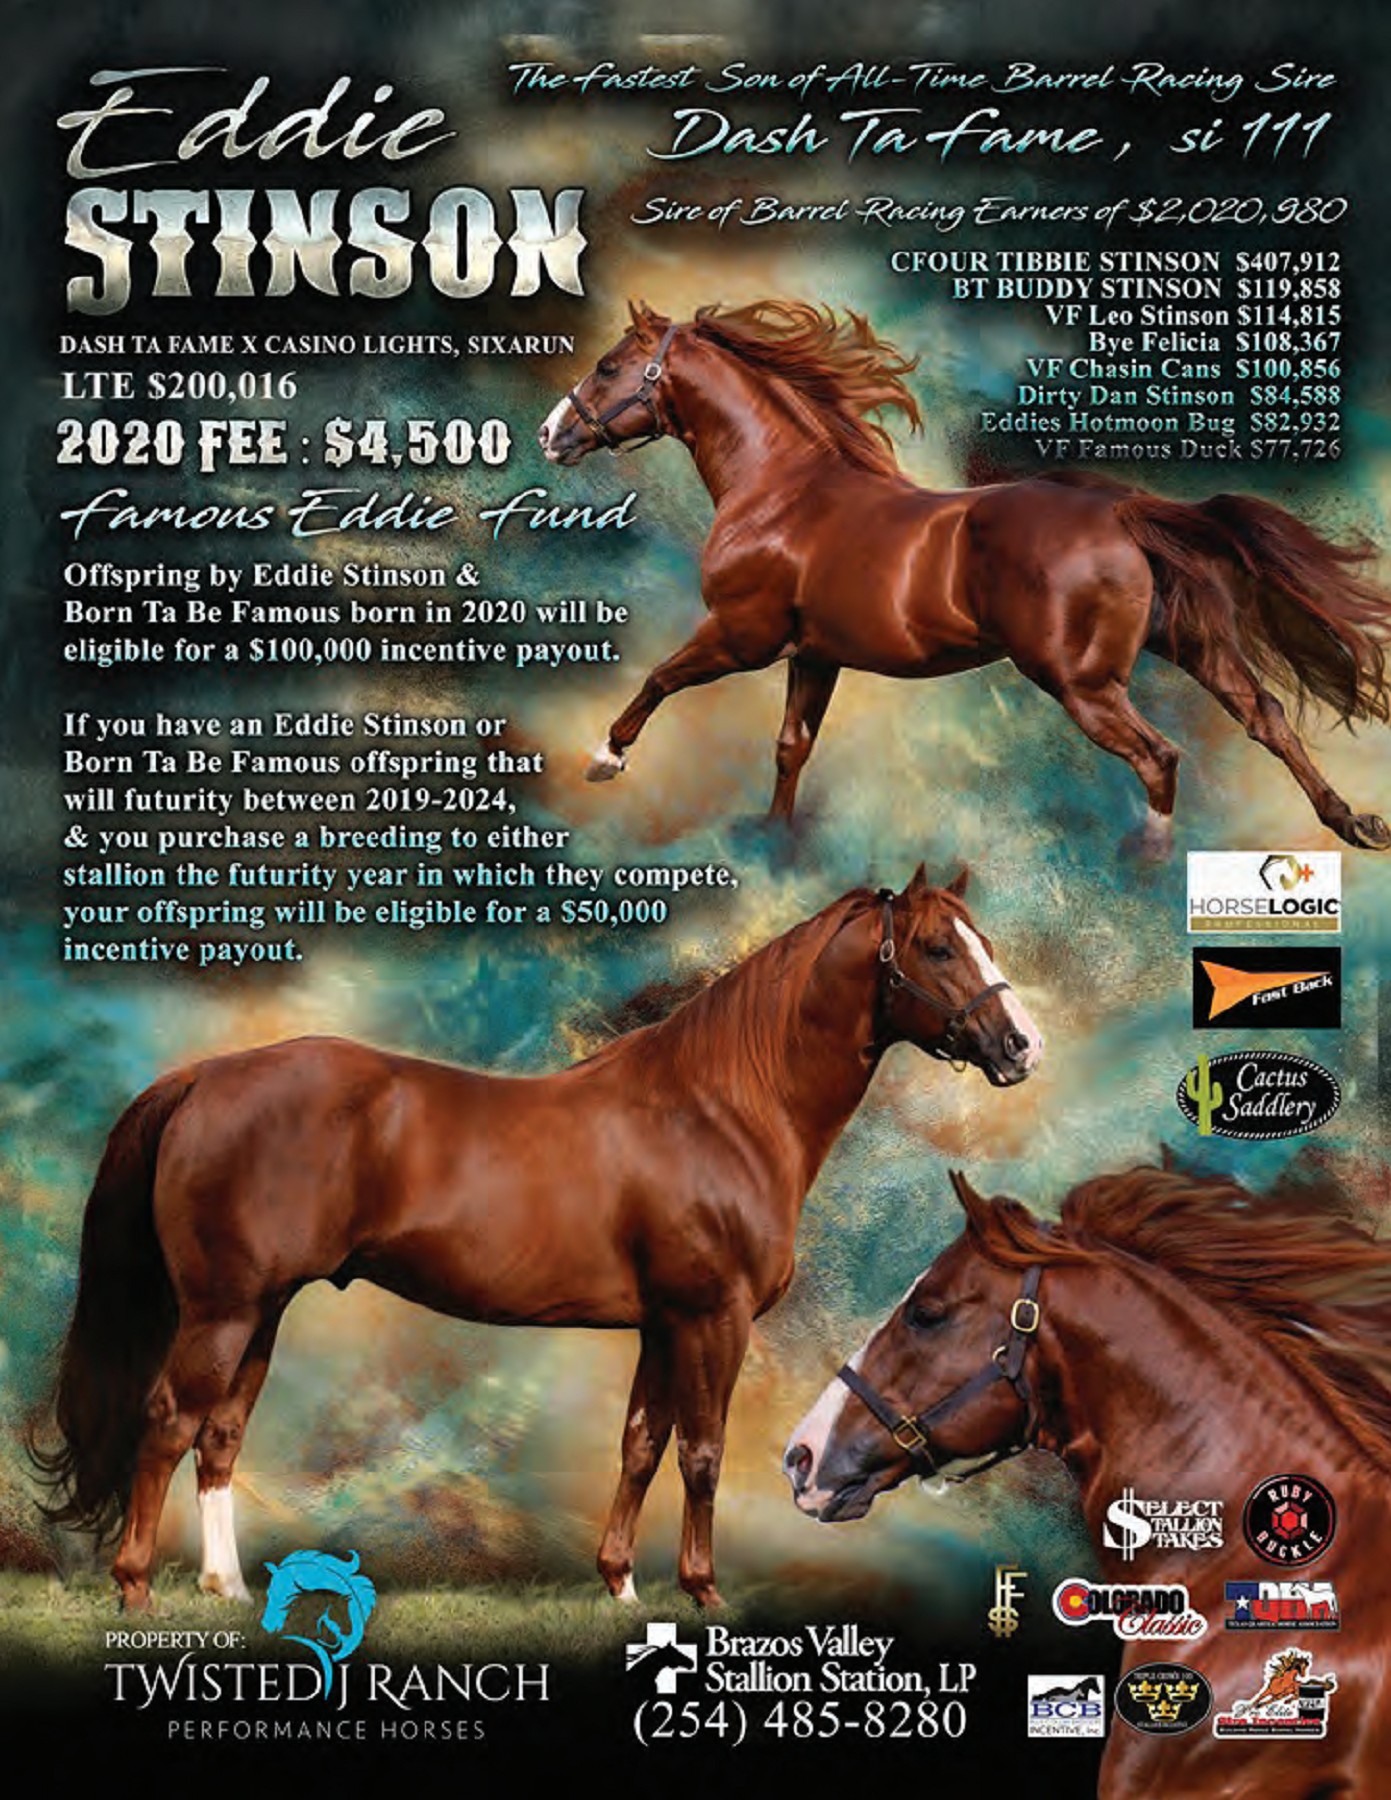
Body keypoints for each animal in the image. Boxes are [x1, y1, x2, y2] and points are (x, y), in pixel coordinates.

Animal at [31, 866, 1042, 1614]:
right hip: (222, 1311)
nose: (1021, 1046)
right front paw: (703, 1595)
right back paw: (135, 1593)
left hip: (261, 1310)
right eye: (939, 947)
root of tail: (204, 1077)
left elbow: (640, 1444)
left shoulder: (663, 1325)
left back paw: (230, 1590)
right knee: (169, 1422)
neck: (721, 1109)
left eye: (982, 942)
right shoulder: (711, 1320)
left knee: (221, 1435)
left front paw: (621, 1587)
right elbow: (702, 1453)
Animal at [539, 299, 1391, 856]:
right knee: (1267, 718)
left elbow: (658, 678)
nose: (551, 434)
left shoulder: (742, 637)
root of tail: (1121, 509)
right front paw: (776, 842)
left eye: (609, 365)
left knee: (1159, 756)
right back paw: (1352, 823)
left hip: (1079, 683)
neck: (777, 490)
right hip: (1188, 646)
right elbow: (790, 749)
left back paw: (1146, 863)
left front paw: (605, 757)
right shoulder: (815, 656)